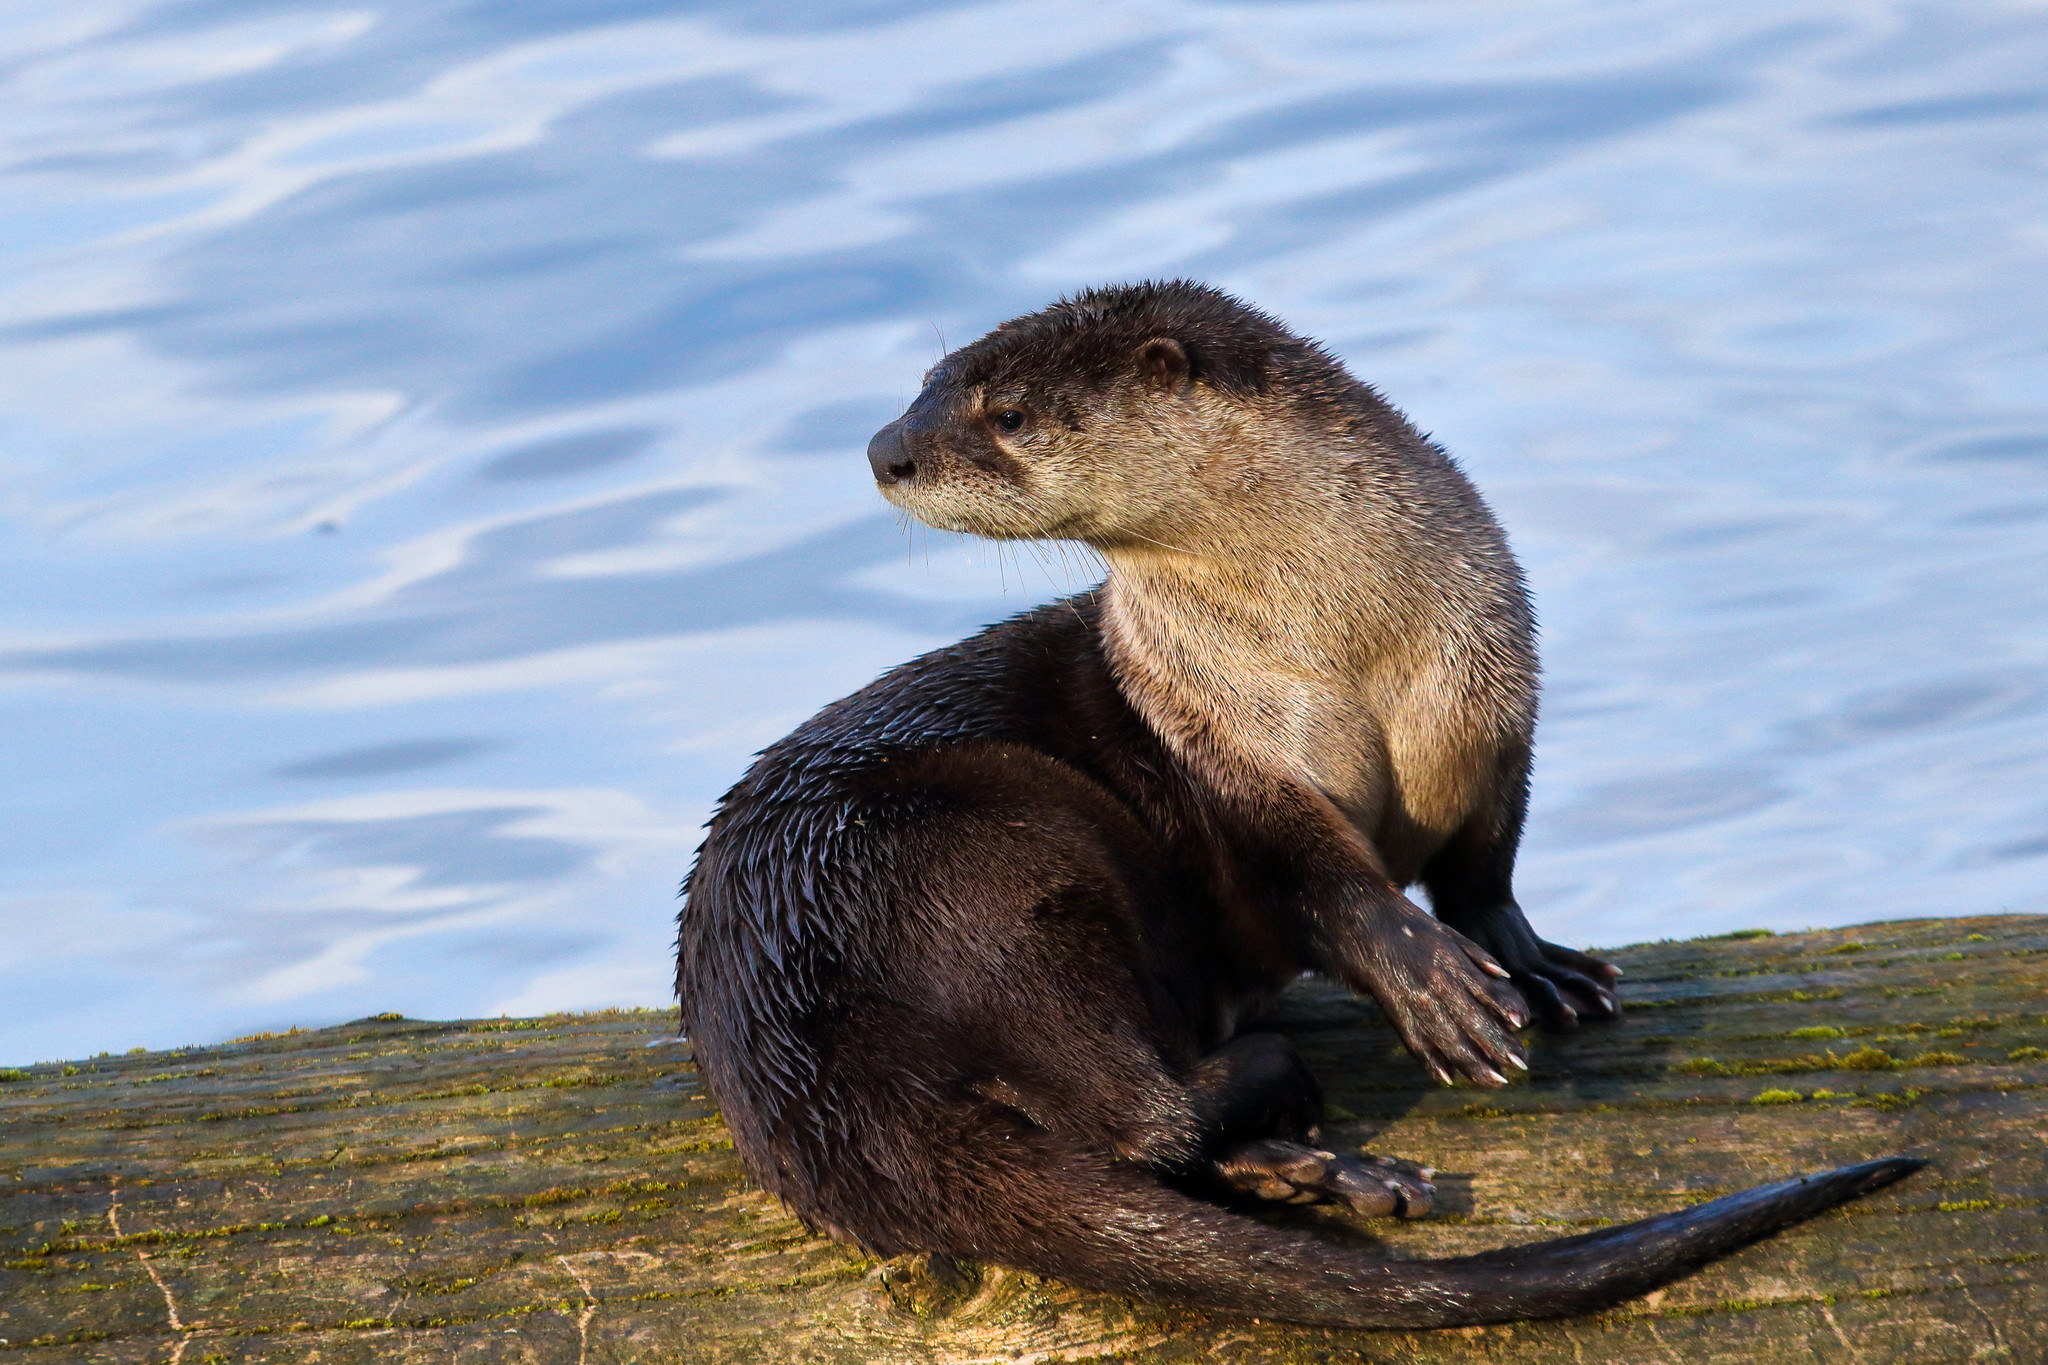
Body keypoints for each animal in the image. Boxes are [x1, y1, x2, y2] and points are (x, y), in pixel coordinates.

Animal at [676, 281, 1920, 1329]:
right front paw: (1434, 986)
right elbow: (1324, 885)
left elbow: (1484, 868)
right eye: (925, 388)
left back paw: (1314, 1171)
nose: (884, 448)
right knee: (1142, 1117)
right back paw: (1304, 1125)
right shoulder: (1230, 761)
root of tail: (799, 1078)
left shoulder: (1497, 706)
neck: (1358, 656)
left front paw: (1542, 964)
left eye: (1007, 412)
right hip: (999, 865)